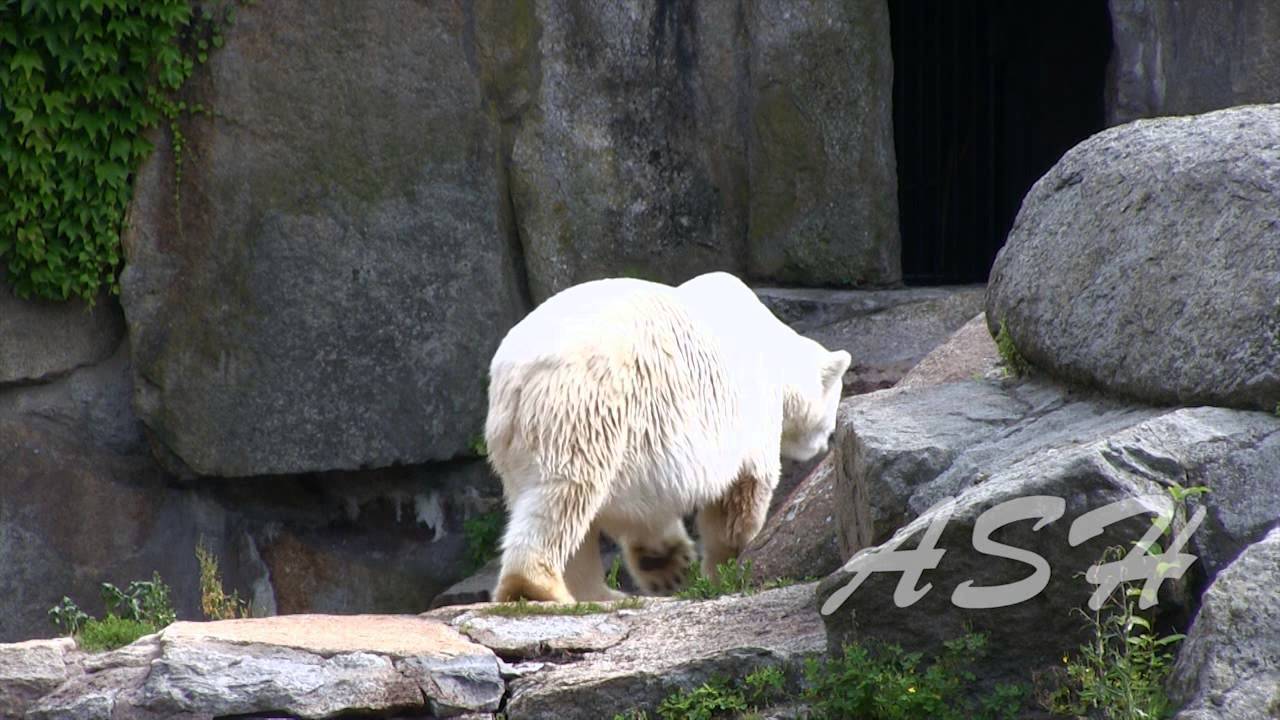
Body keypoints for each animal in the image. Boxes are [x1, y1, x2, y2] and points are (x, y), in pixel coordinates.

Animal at [483, 271, 851, 603]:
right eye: (834, 403)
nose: (827, 440)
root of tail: (515, 377)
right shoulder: (748, 411)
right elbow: (743, 490)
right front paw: (724, 568)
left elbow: (644, 507)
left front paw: (669, 566)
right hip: (583, 409)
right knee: (565, 492)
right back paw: (537, 587)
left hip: (515, 442)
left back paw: (597, 593)